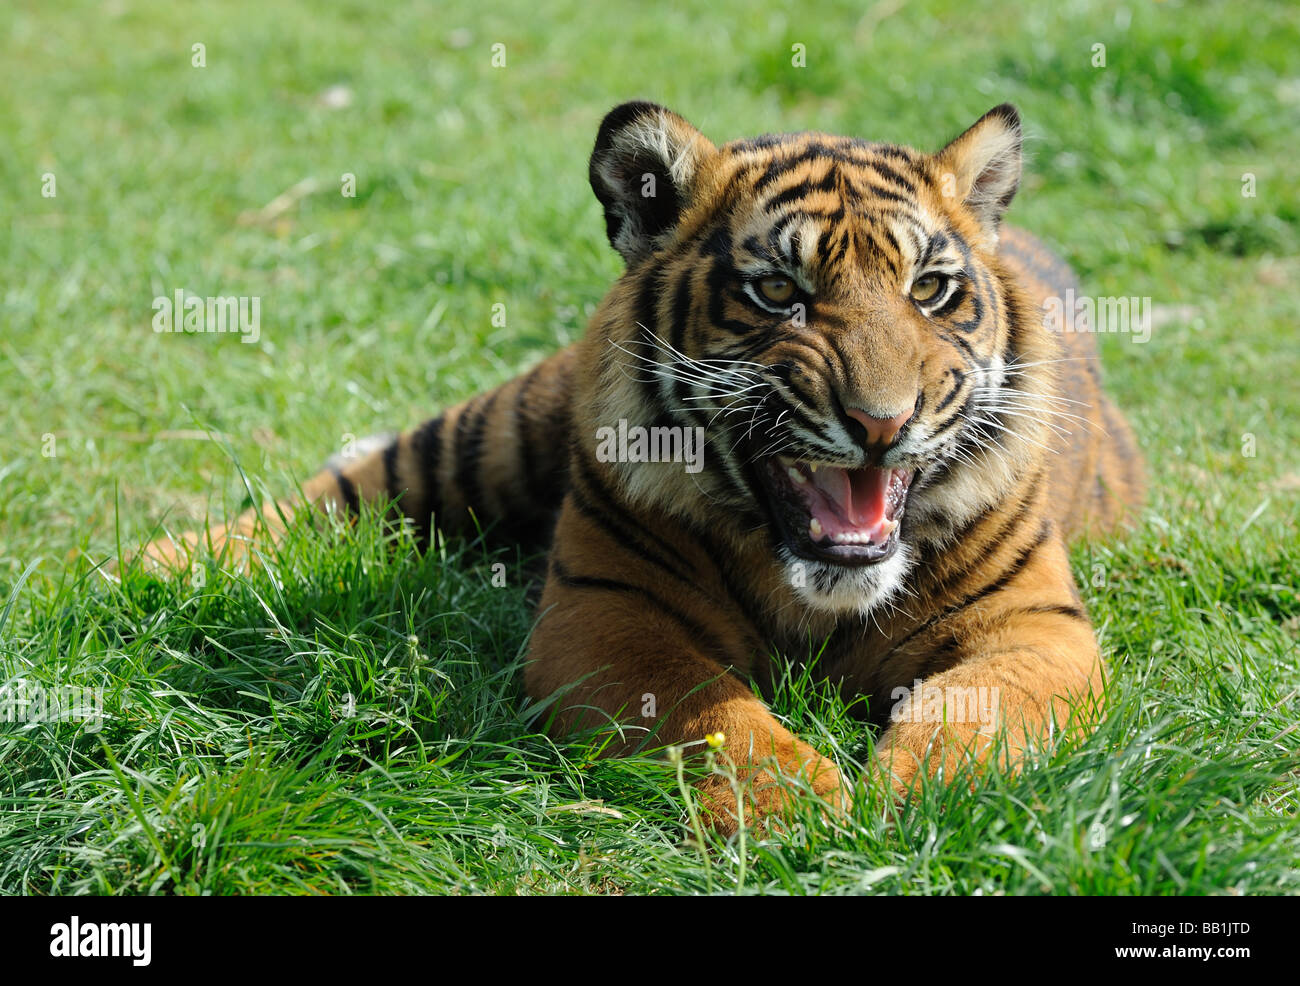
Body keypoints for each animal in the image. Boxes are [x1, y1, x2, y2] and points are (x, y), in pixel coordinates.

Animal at [137, 101, 1144, 833]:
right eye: (777, 291)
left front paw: (927, 797)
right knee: (350, 486)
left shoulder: (1034, 625)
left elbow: (984, 706)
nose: (881, 422)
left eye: (930, 290)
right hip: (498, 432)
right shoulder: (607, 618)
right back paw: (151, 567)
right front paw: (798, 810)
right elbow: (715, 717)